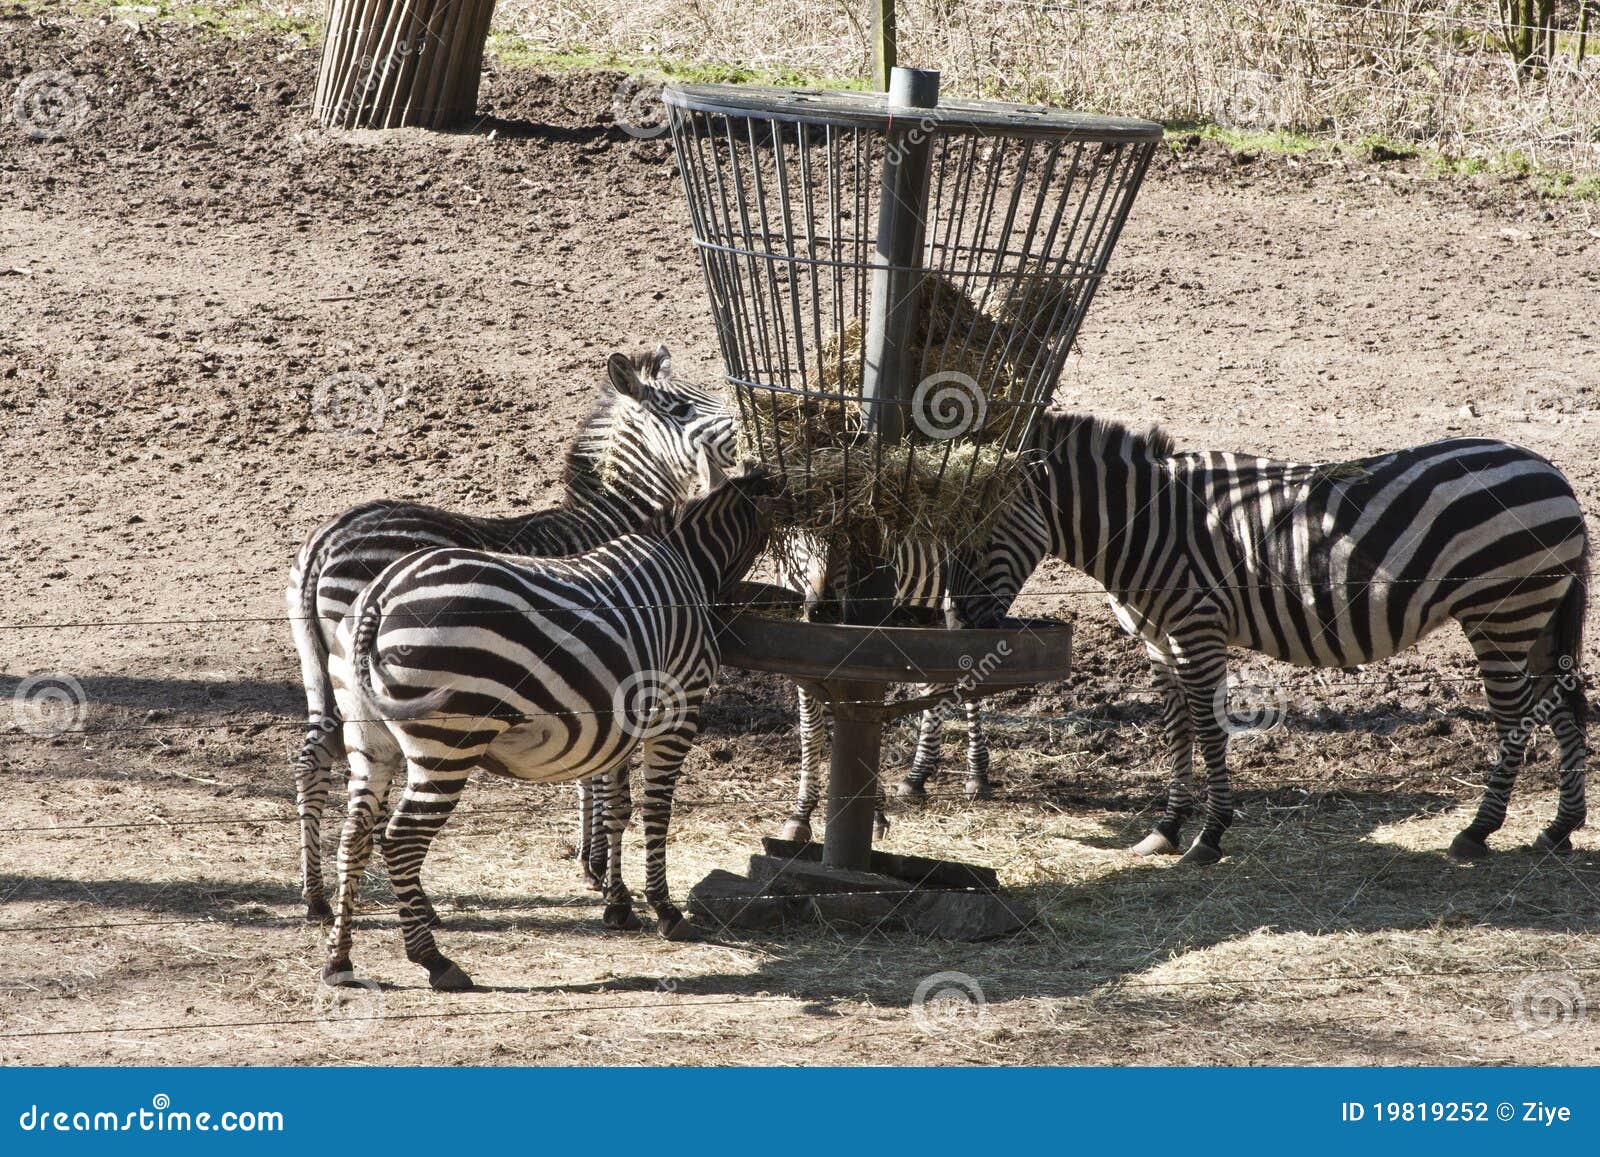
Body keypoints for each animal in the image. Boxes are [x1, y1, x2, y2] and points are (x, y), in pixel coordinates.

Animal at [285, 348, 736, 919]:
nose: (746, 422)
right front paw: (601, 872)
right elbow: (602, 774)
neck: (615, 523)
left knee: (313, 760)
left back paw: (318, 895)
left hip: (324, 669)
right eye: (680, 408)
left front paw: (591, 864)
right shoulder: (611, 654)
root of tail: (325, 539)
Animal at [322, 467, 775, 990]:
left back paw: (339, 960)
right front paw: (664, 909)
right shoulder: (679, 708)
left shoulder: (624, 719)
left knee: (354, 836)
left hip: (369, 739)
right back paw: (434, 960)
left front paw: (617, 903)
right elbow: (655, 812)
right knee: (401, 840)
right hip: (447, 741)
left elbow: (616, 808)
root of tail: (379, 596)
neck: (686, 561)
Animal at [777, 538, 1000, 845]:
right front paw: (801, 814)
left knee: (969, 681)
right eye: (801, 538)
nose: (824, 610)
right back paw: (917, 777)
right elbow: (813, 728)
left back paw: (977, 774)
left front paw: (873, 812)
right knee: (936, 688)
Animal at [956, 412, 1589, 864]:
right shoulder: (1158, 641)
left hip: (1501, 612)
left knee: (1517, 717)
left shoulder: (1197, 628)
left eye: (980, 535)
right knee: (1565, 708)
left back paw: (1478, 832)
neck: (1145, 524)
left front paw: (1208, 837)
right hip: (1536, 616)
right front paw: (1166, 830)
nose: (961, 623)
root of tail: (1554, 474)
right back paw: (1559, 829)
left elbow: (1209, 728)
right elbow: (1176, 729)